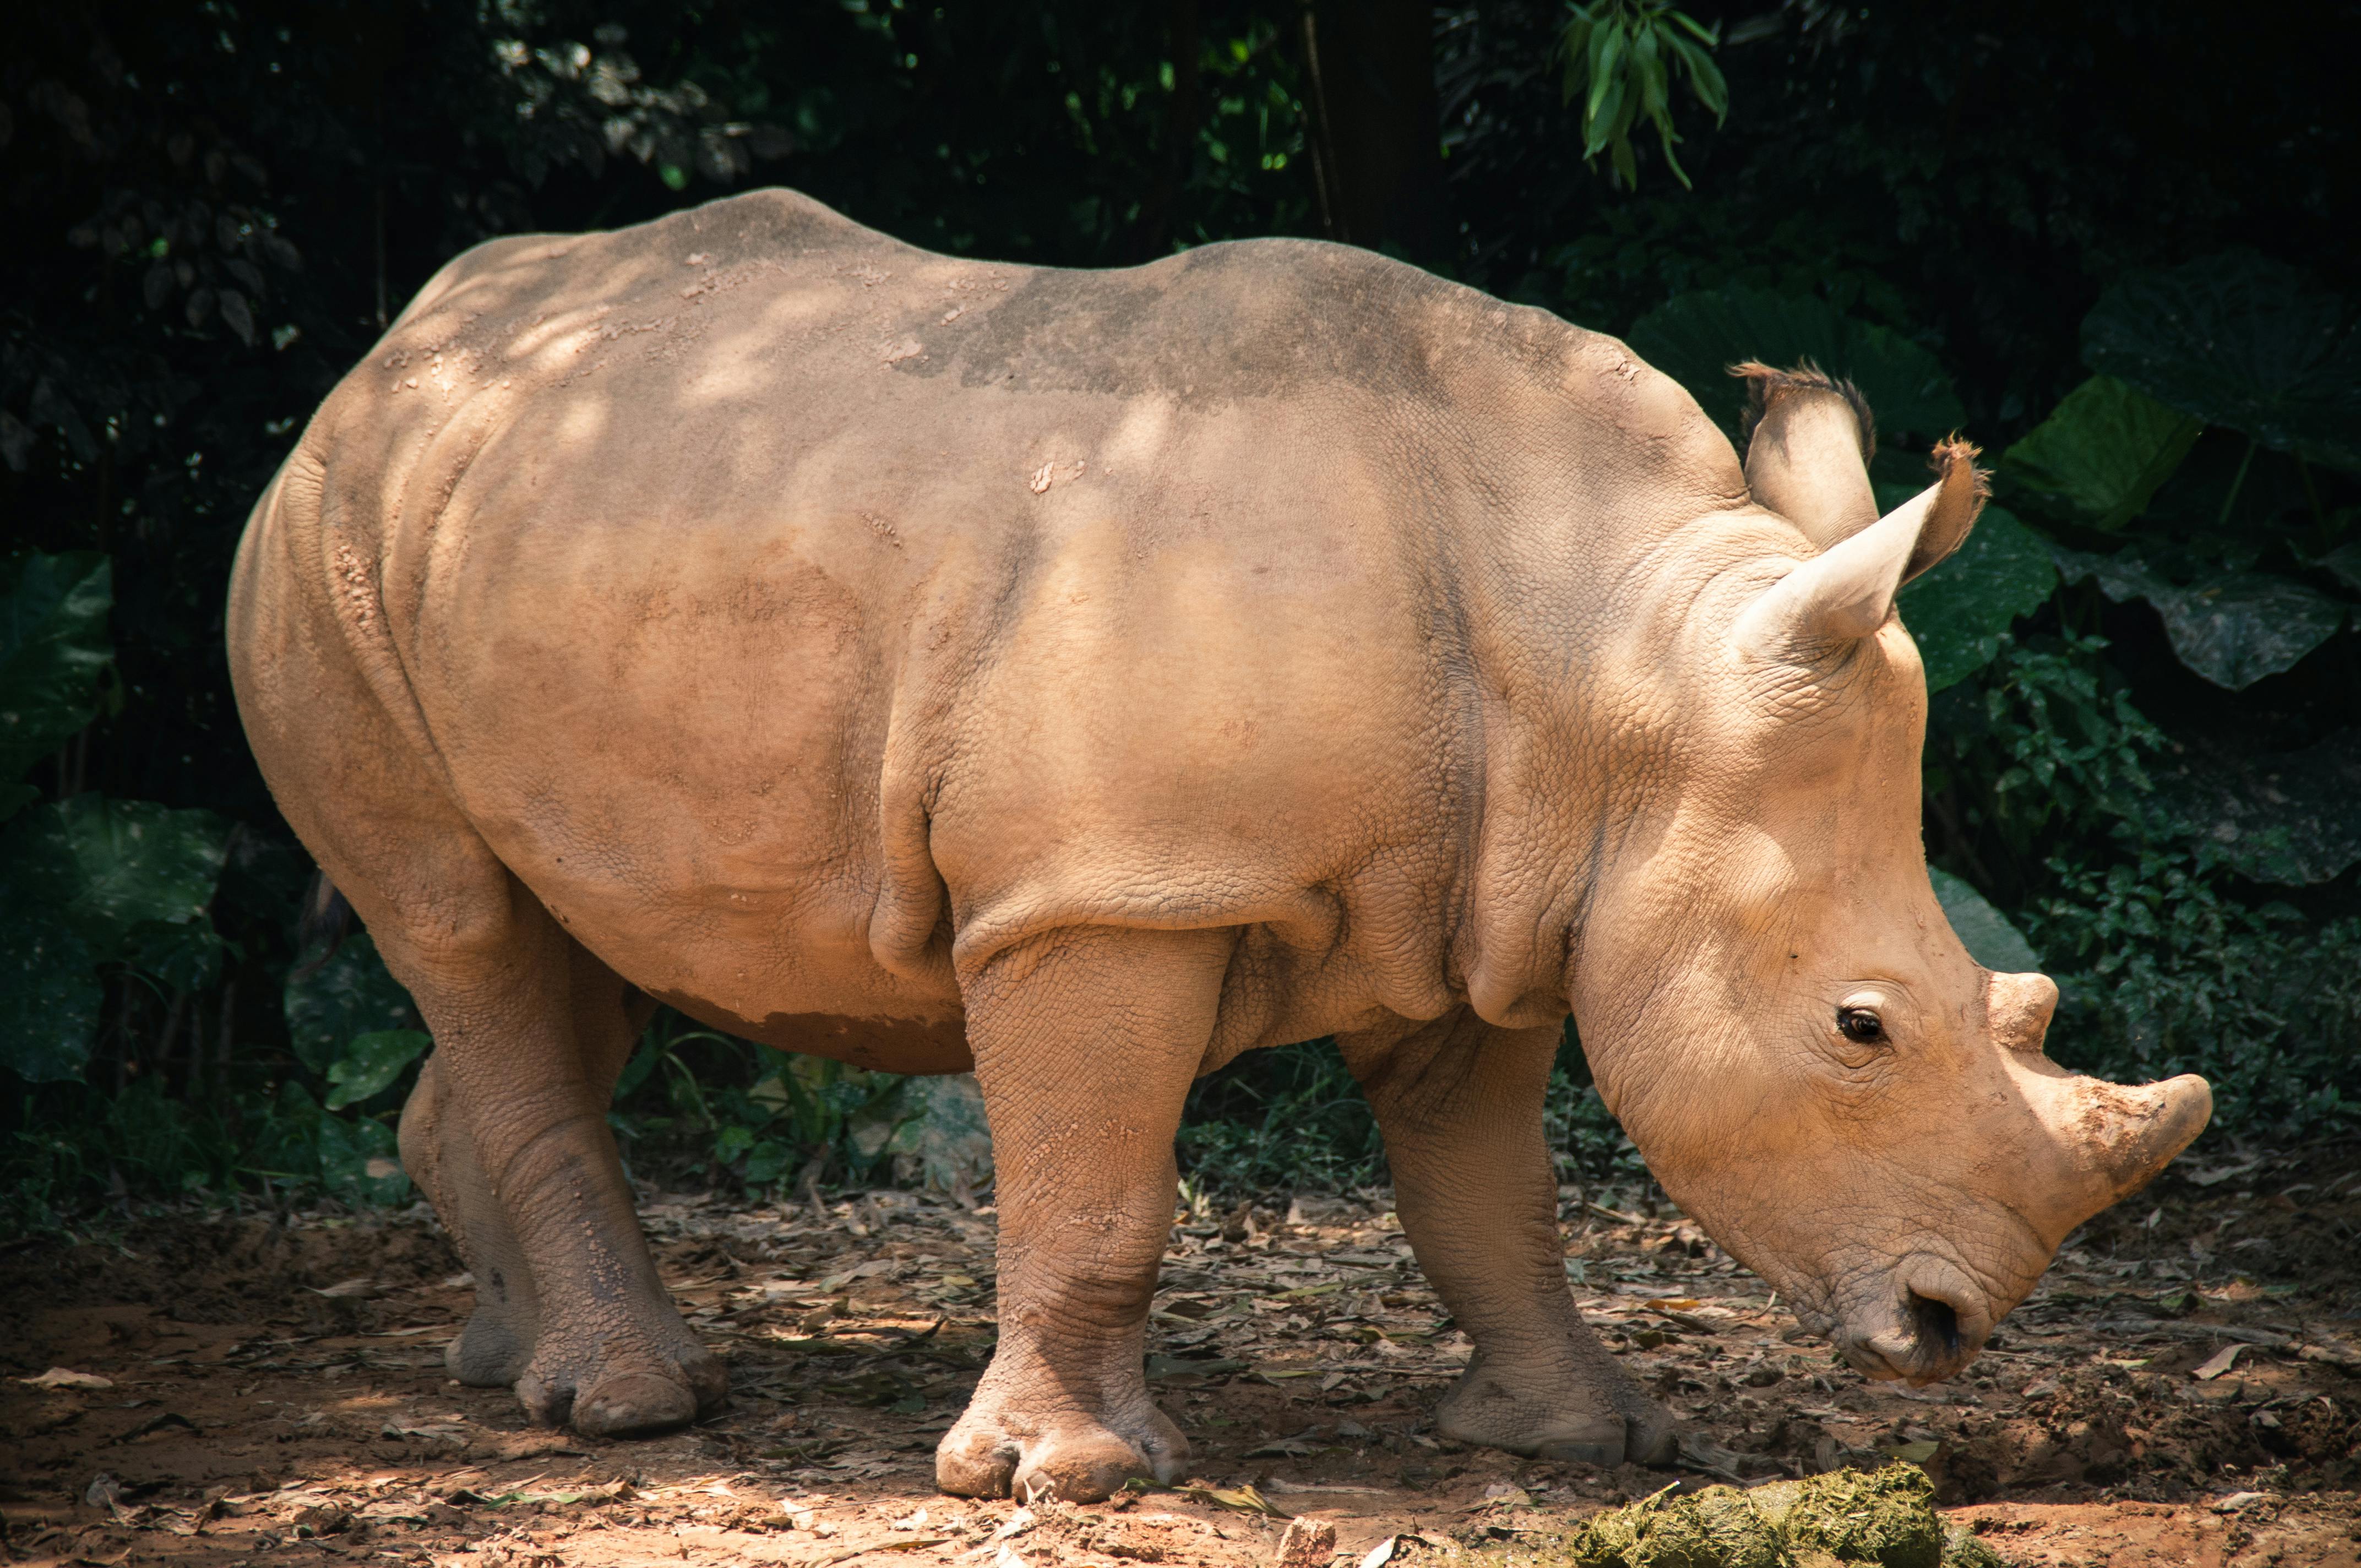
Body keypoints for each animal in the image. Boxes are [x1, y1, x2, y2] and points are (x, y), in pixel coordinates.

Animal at [227, 188, 2210, 1501]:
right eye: (1859, 1027)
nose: (1952, 1324)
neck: (1611, 658)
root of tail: (386, 352)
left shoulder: (1492, 899)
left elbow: (1487, 1191)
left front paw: (1581, 1437)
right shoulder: (1102, 892)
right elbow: (1101, 1181)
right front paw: (1065, 1480)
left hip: (539, 530)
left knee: (576, 946)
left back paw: (510, 1366)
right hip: (325, 542)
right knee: (463, 926)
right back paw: (631, 1406)